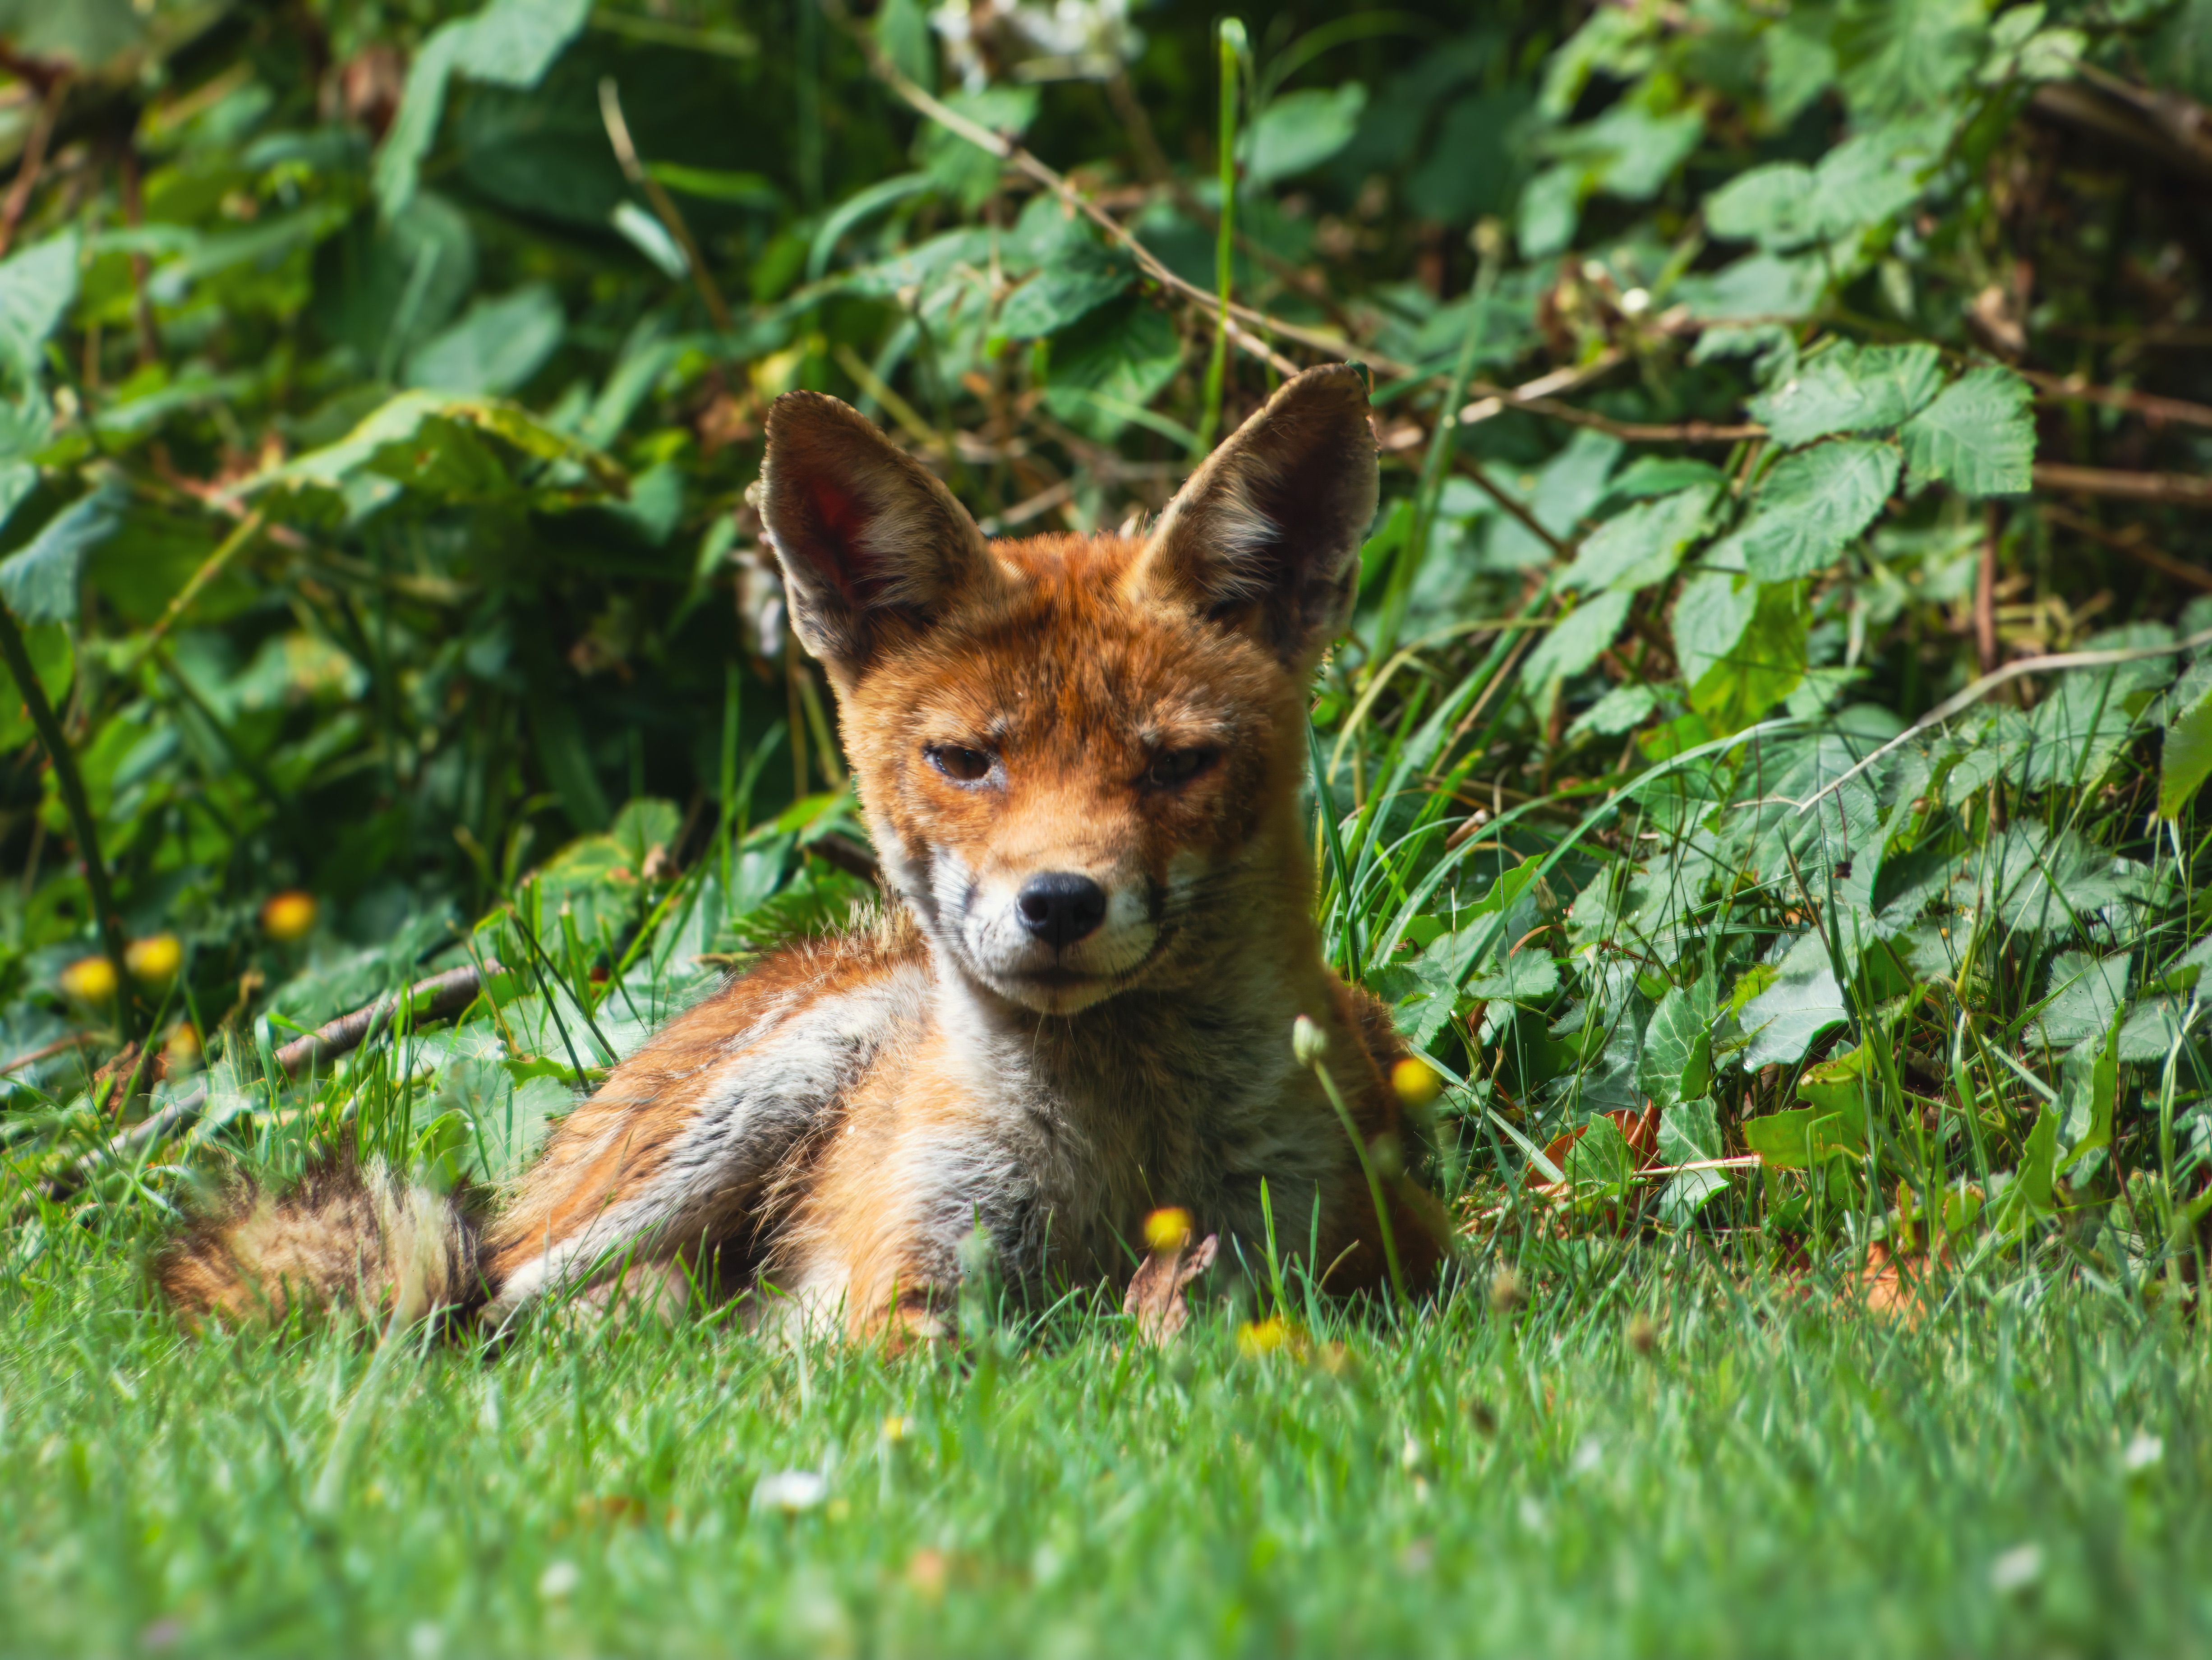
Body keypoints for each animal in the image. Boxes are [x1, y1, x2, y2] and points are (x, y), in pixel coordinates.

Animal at [158, 364, 1447, 1341]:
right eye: (964, 760)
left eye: (1176, 764)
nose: (1059, 903)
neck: (1127, 1147)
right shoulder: (905, 1282)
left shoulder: (1358, 1263)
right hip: (738, 1115)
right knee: (488, 1304)